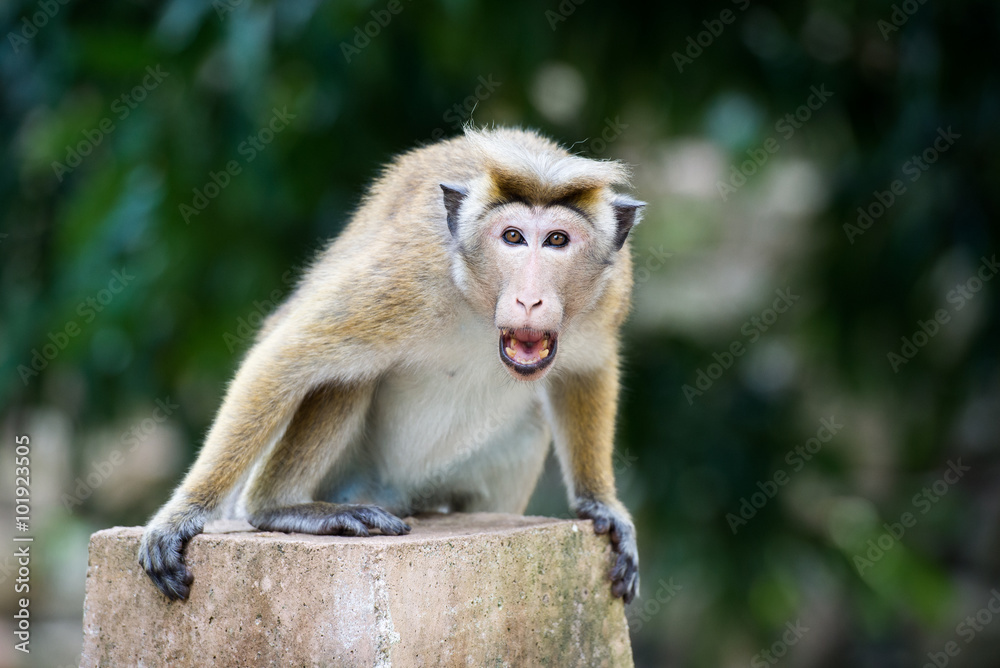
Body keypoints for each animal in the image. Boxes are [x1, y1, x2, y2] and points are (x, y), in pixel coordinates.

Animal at [139, 126, 644, 604]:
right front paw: (182, 514)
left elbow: (588, 369)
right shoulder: (409, 281)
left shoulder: (610, 292)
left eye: (557, 240)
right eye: (513, 237)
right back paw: (279, 506)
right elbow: (283, 358)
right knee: (345, 378)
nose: (529, 299)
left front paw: (601, 505)